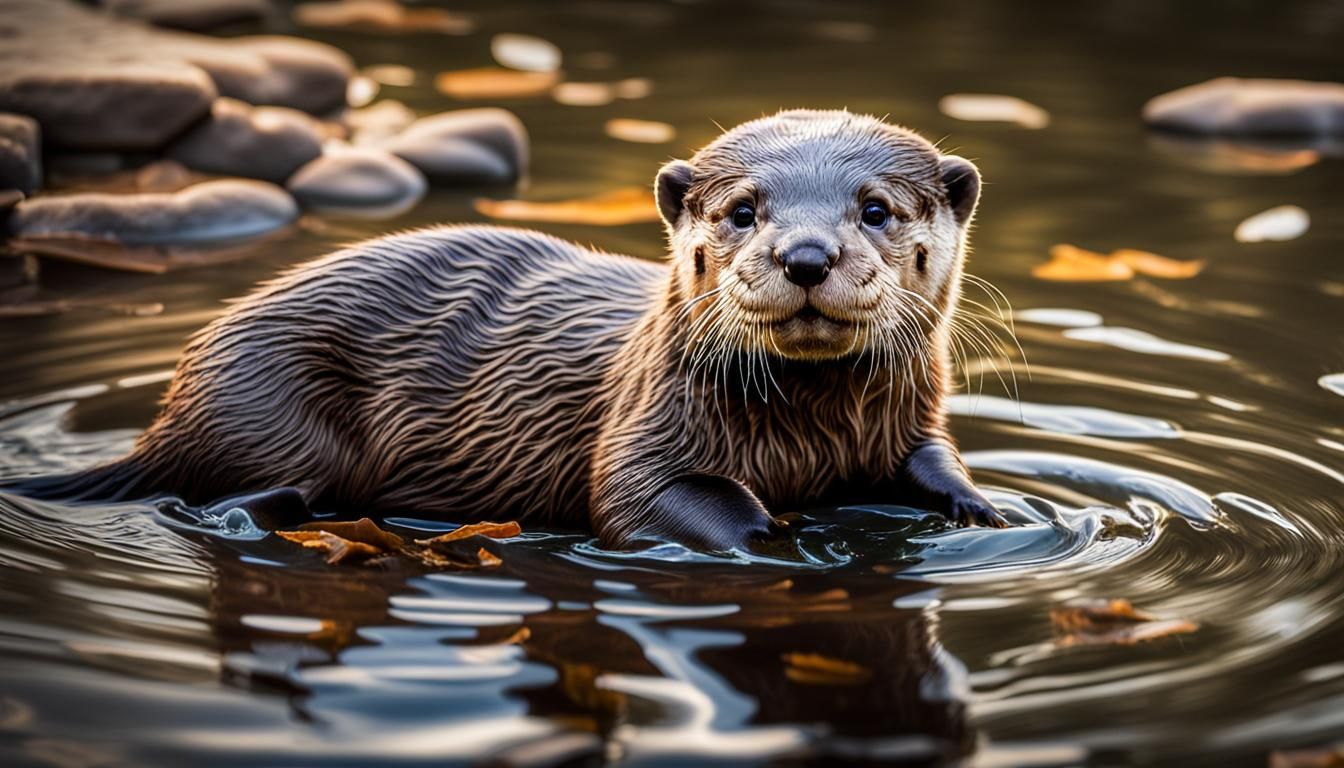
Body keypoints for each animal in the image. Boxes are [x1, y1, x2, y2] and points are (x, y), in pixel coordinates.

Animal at [8, 110, 1008, 549]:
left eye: (875, 209)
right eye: (743, 210)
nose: (805, 254)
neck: (809, 436)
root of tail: (179, 394)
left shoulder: (910, 422)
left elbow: (933, 461)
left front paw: (987, 509)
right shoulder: (644, 440)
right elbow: (646, 503)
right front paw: (786, 539)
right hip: (267, 401)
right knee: (211, 490)